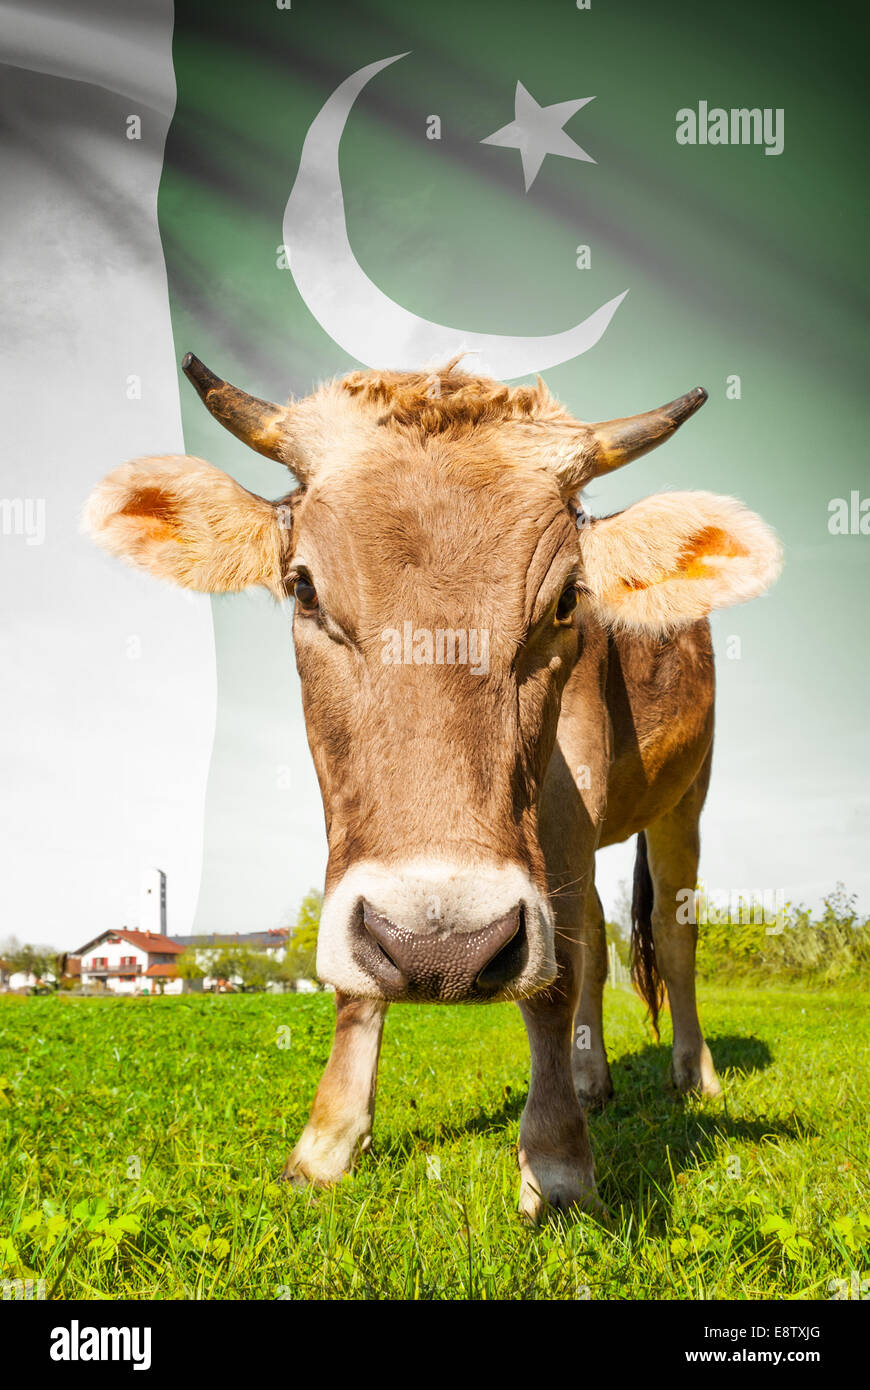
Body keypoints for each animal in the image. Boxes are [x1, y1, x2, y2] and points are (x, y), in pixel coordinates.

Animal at [84, 353, 782, 1221]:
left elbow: (552, 980)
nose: (441, 949)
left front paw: (557, 1163)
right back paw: (592, 1080)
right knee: (593, 940)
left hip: (686, 798)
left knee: (672, 938)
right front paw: (326, 1143)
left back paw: (694, 1075)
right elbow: (364, 975)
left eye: (566, 600)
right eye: (304, 588)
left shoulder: (572, 796)